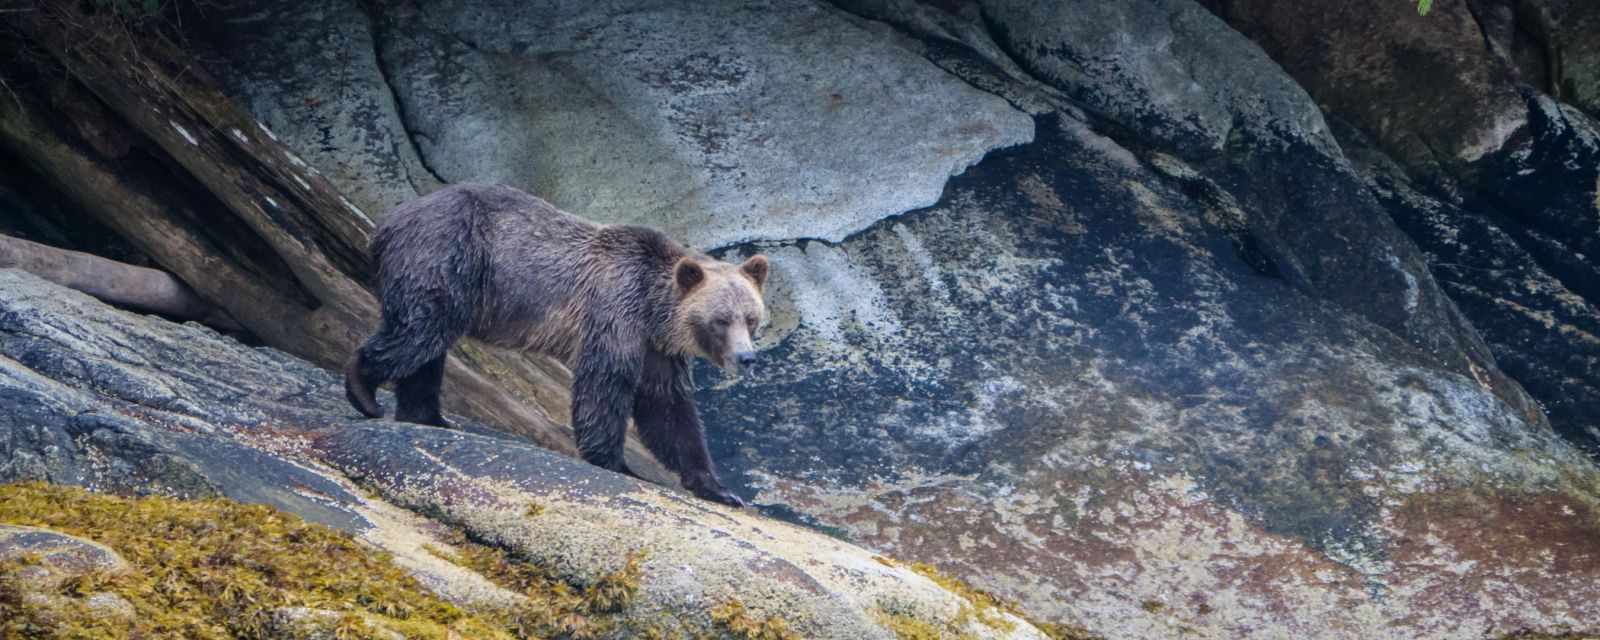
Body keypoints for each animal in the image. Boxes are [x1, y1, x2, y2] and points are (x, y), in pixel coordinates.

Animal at [343, 183, 768, 507]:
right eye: (721, 320)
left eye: (751, 318)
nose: (745, 358)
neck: (653, 309)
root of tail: (389, 222)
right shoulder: (614, 315)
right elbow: (604, 387)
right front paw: (615, 462)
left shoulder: (656, 349)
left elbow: (668, 409)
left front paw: (718, 487)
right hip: (445, 256)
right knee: (419, 331)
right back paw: (364, 390)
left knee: (429, 346)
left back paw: (427, 414)